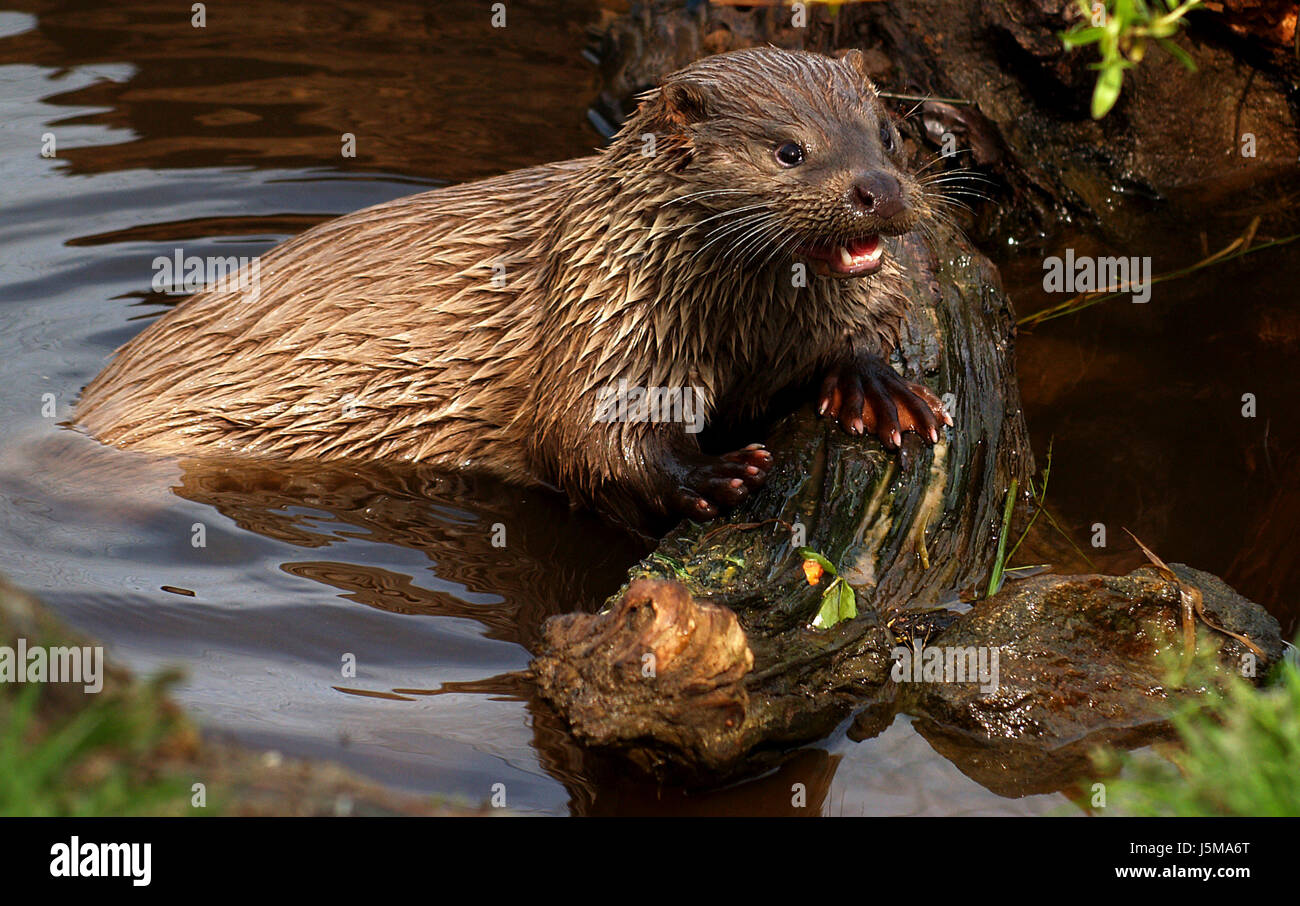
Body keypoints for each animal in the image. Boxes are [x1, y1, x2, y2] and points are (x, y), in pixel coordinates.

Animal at [76, 48, 950, 527]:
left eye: (887, 134)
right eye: (788, 151)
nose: (879, 191)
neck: (750, 329)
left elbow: (874, 324)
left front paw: (881, 389)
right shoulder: (602, 311)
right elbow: (582, 434)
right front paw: (712, 474)